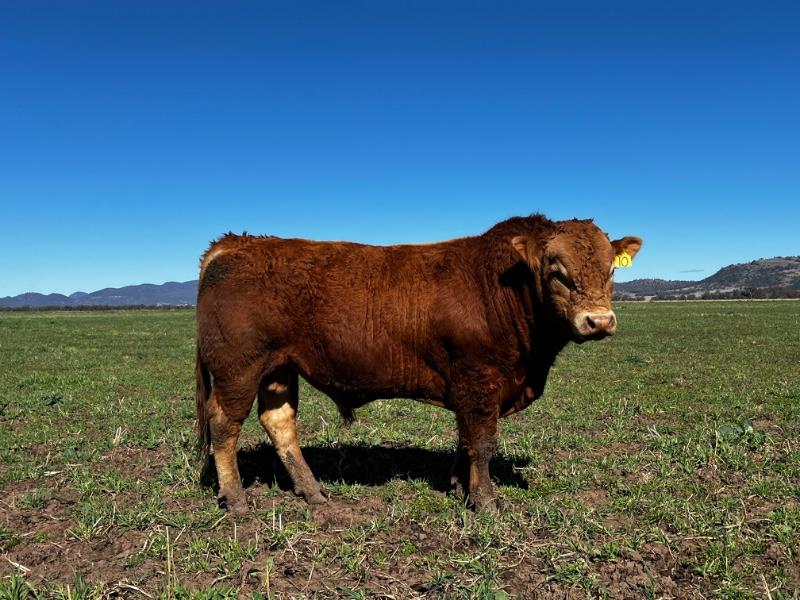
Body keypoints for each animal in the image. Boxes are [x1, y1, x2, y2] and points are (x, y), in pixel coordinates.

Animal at [195, 214, 642, 513]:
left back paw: (313, 491)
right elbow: (482, 442)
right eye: (556, 270)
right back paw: (236, 499)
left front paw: (459, 485)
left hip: (278, 369)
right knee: (224, 424)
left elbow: (466, 440)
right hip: (239, 369)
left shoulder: (469, 389)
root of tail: (235, 243)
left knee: (279, 422)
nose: (599, 321)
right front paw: (485, 501)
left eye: (610, 270)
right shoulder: (479, 379)